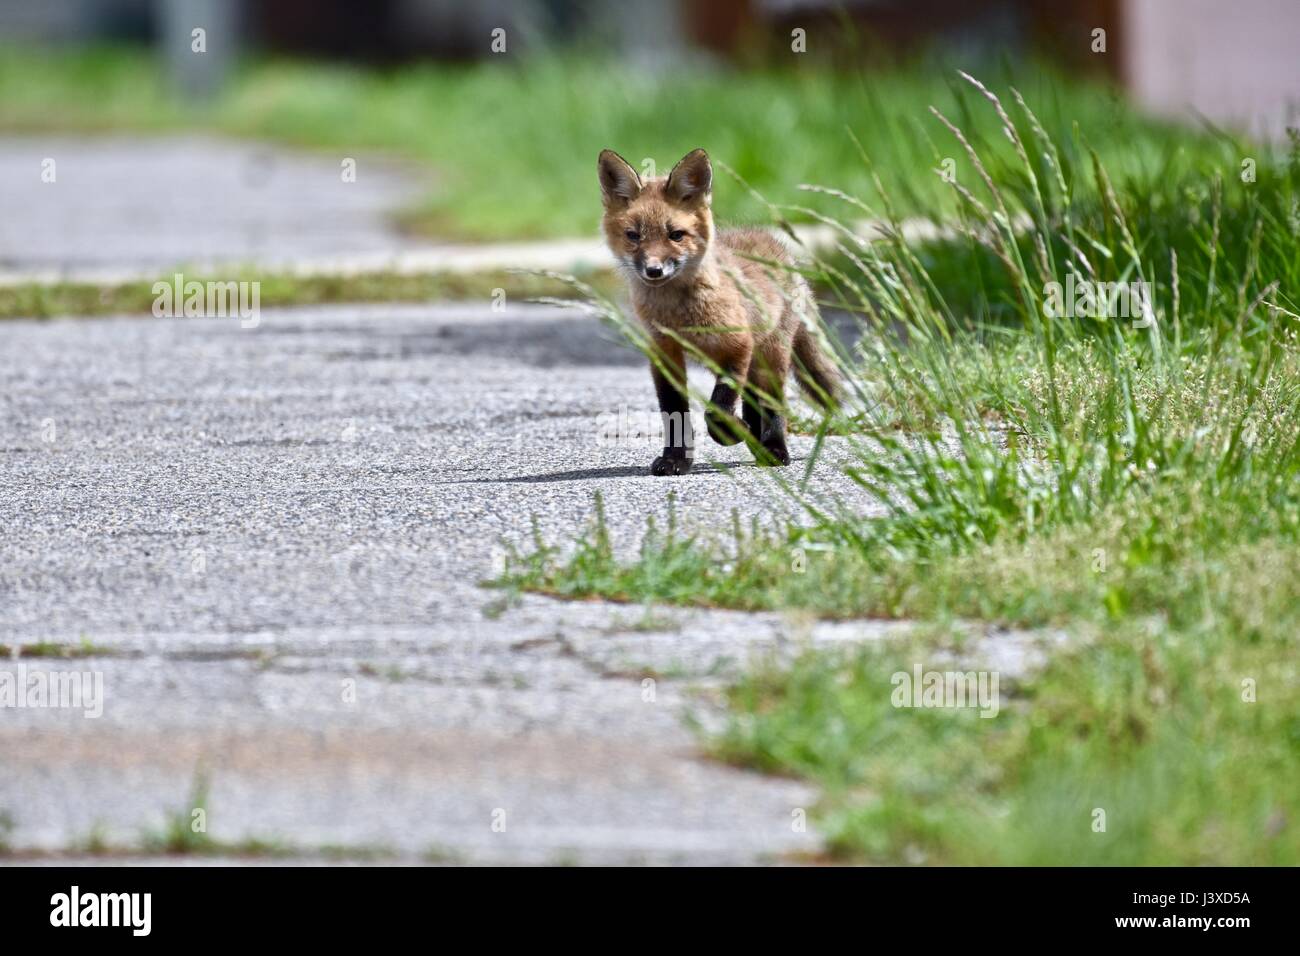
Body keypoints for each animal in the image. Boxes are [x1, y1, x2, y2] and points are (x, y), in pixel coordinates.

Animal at [598, 147, 839, 476]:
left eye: (676, 235)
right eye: (633, 236)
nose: (654, 270)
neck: (677, 312)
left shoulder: (738, 346)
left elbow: (717, 411)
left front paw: (731, 432)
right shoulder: (664, 352)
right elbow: (674, 412)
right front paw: (676, 460)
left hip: (770, 355)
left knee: (773, 404)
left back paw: (774, 449)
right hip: (729, 361)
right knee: (752, 402)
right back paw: (755, 442)